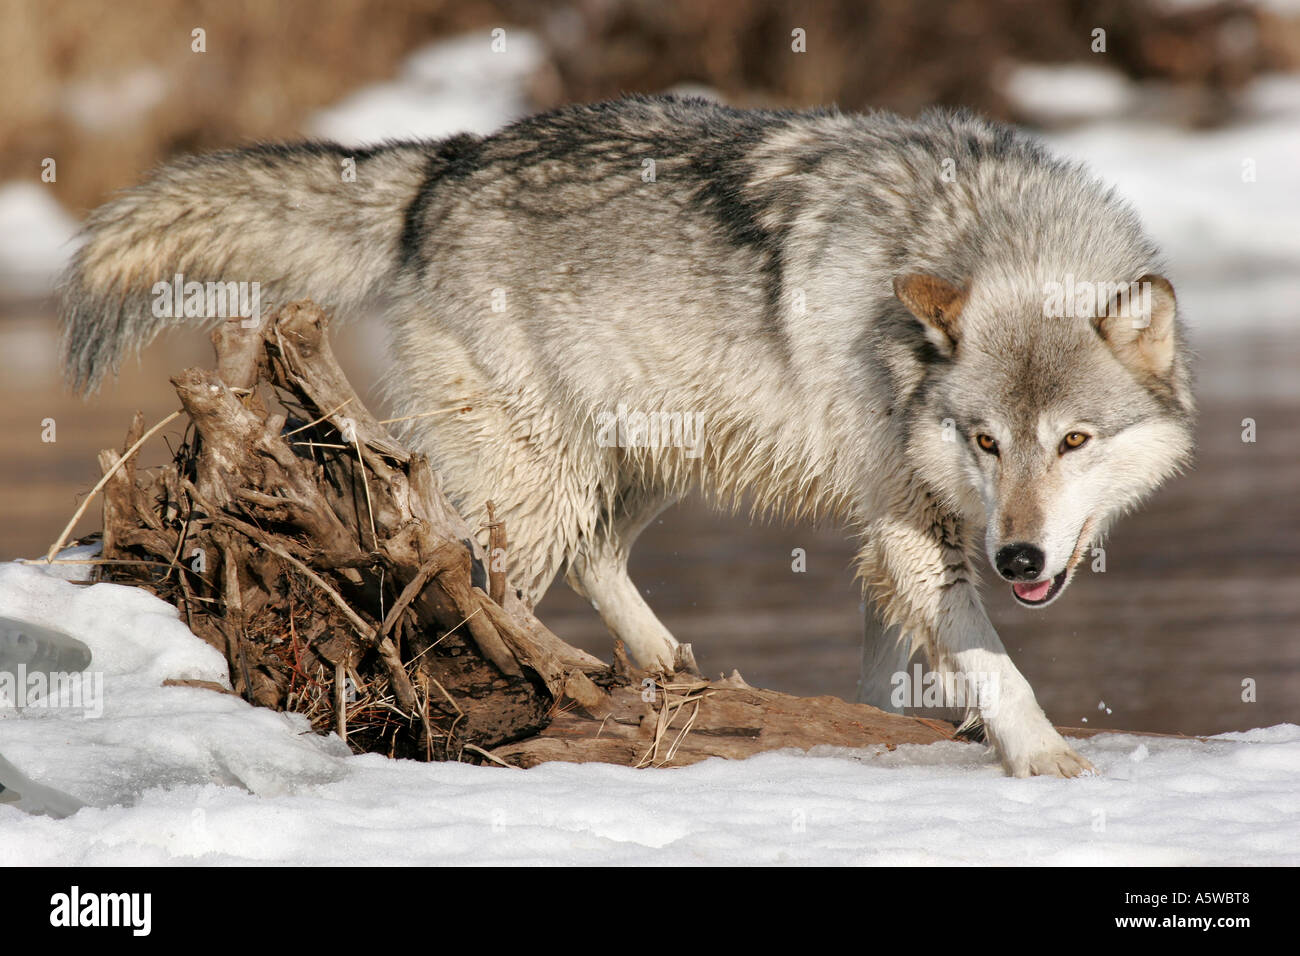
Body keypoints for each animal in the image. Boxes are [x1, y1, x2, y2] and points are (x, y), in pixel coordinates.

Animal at [60, 95, 1195, 777]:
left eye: (1074, 440)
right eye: (986, 441)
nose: (1021, 556)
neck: (989, 235)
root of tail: (448, 164)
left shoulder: (895, 518)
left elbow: (906, 649)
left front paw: (893, 733)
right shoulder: (909, 519)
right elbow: (992, 655)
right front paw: (1043, 757)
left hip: (652, 449)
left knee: (596, 553)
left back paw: (663, 665)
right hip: (542, 475)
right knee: (494, 588)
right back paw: (562, 697)